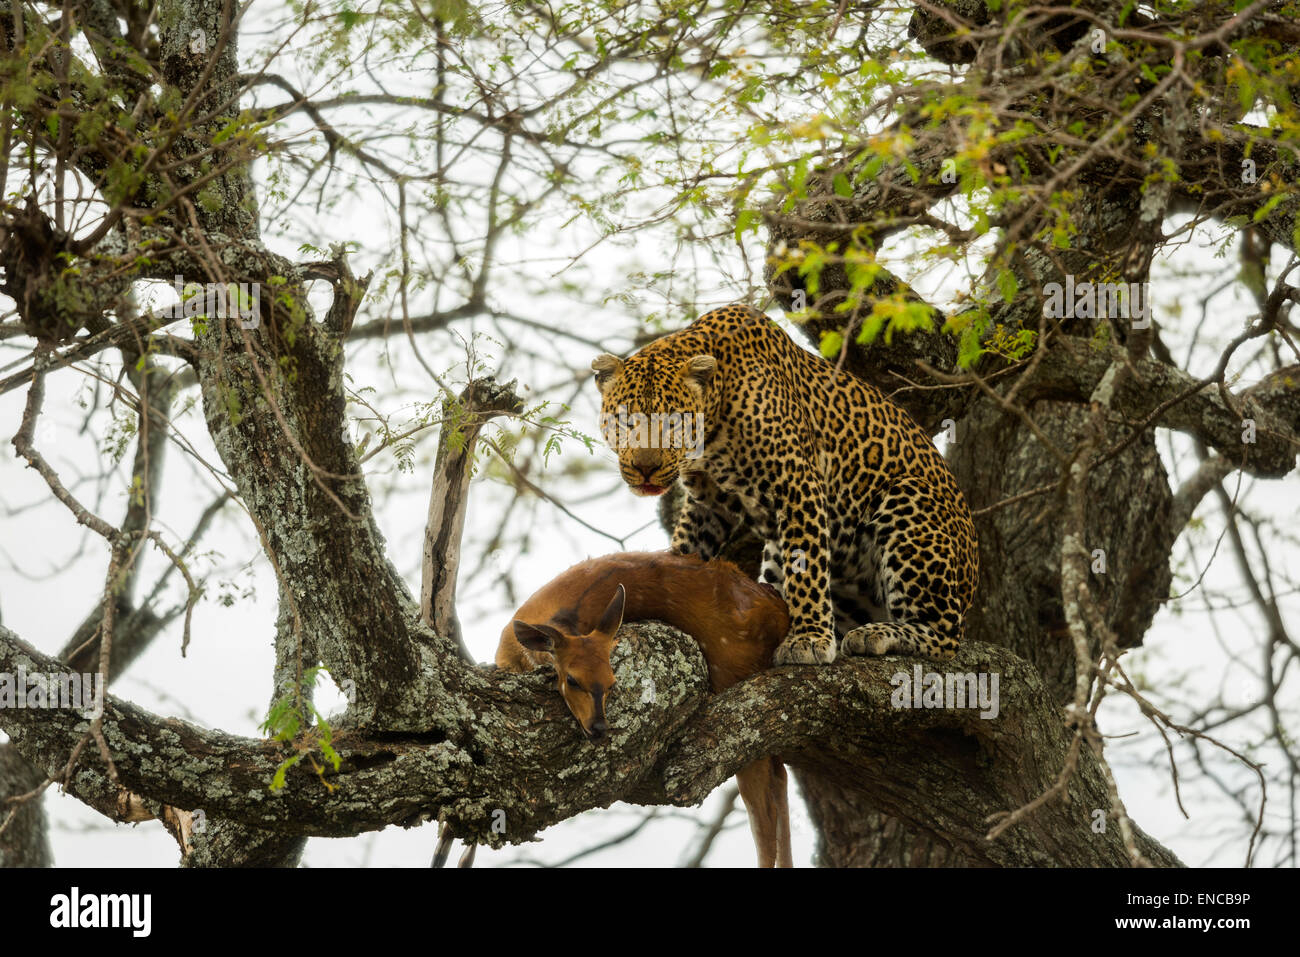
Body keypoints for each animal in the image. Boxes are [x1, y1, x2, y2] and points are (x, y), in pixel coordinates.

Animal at [591, 303, 978, 666]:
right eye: (625, 420)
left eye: (674, 422)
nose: (645, 468)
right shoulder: (707, 500)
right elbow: (687, 548)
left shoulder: (796, 480)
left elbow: (807, 565)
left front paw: (809, 638)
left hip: (909, 497)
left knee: (946, 636)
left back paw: (876, 634)